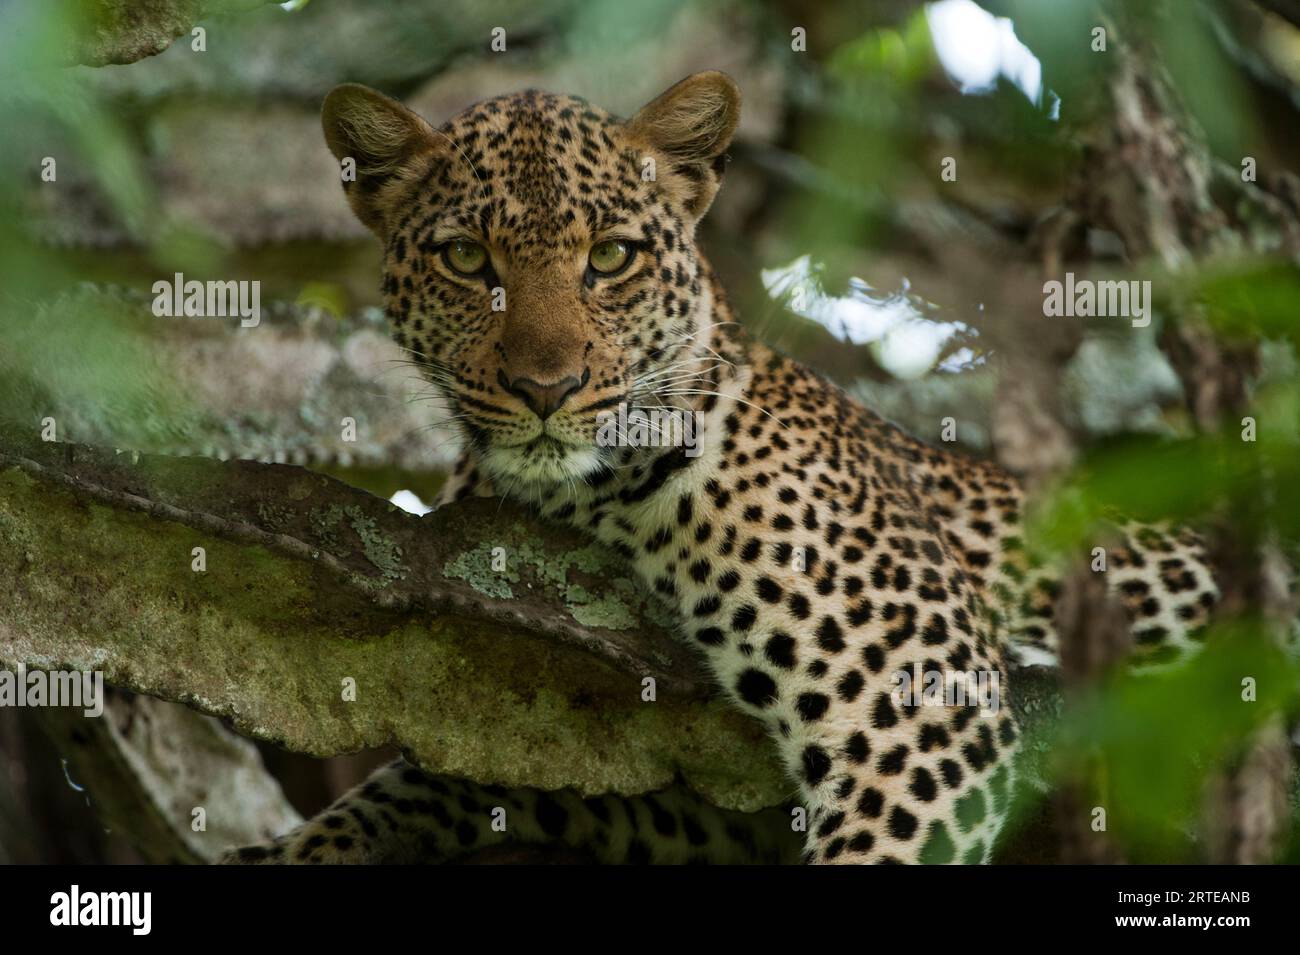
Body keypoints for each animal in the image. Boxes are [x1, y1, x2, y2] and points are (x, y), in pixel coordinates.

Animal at [222, 72, 1222, 865]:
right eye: (467, 258)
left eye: (611, 256)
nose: (547, 387)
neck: (585, 499)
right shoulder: (688, 805)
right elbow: (427, 781)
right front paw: (297, 846)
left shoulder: (922, 709)